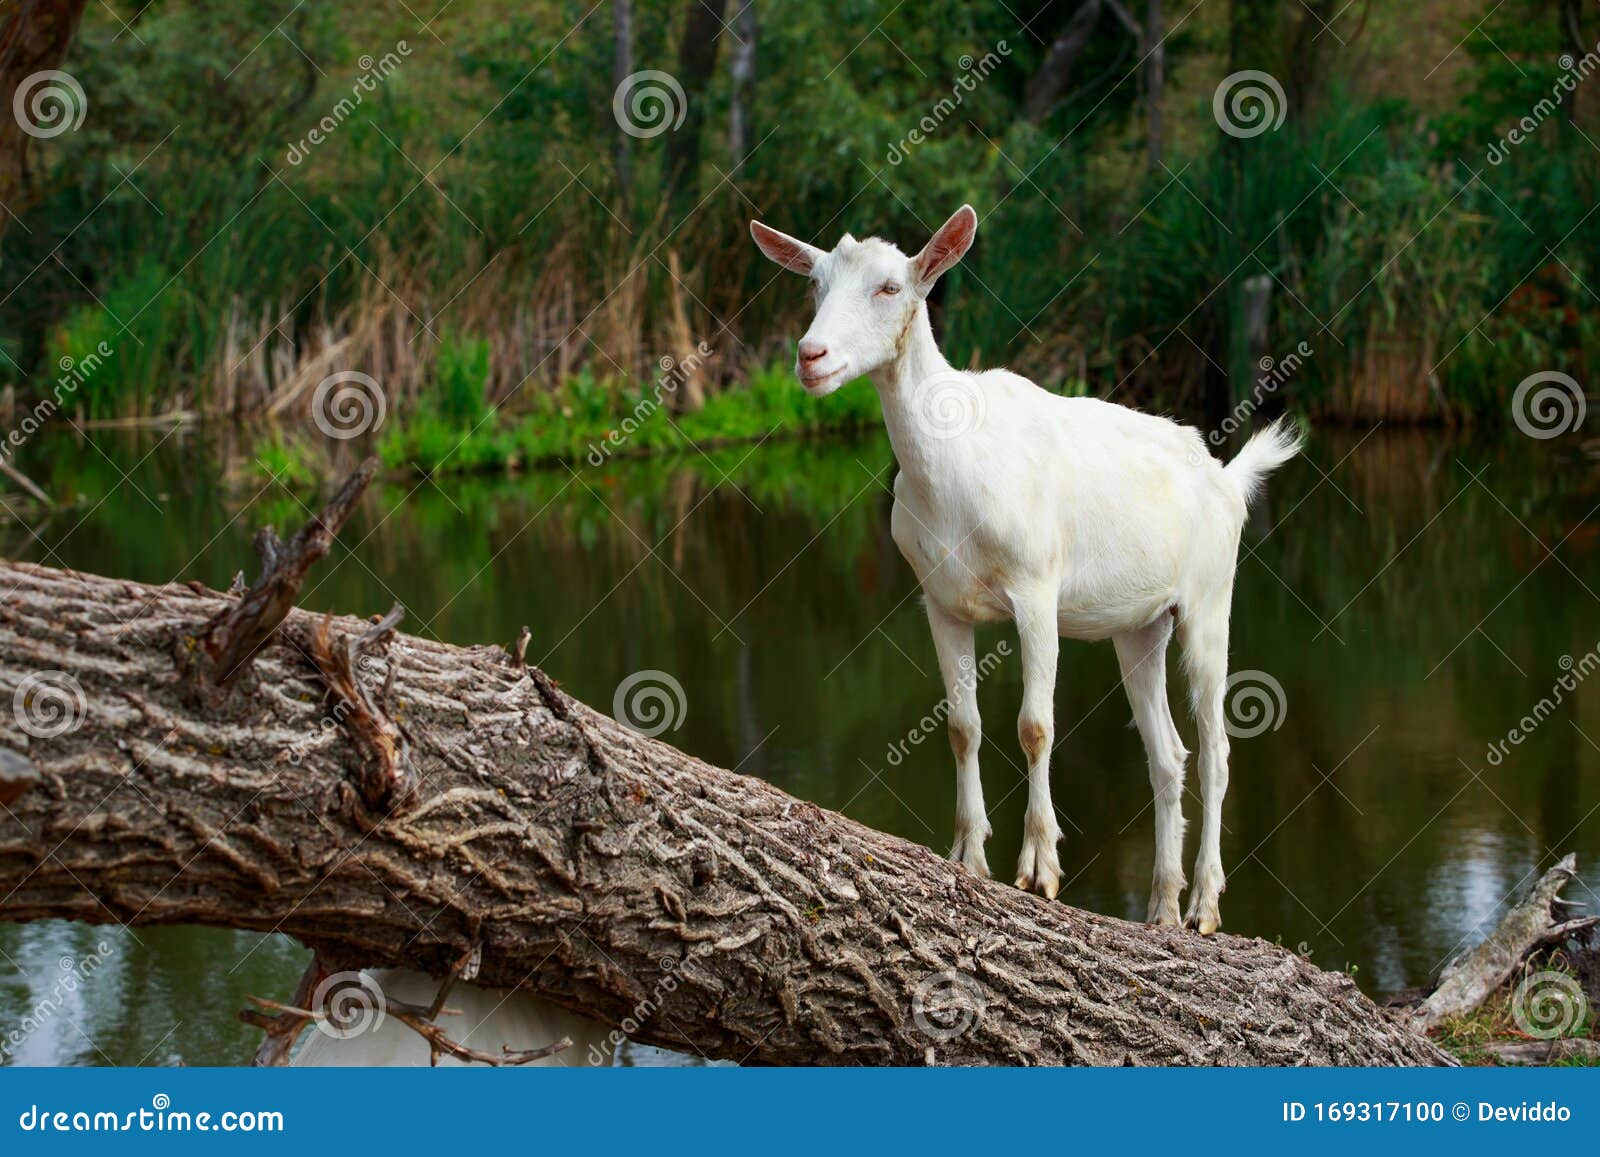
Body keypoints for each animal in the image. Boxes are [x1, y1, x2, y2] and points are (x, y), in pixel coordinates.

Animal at [749, 205, 1302, 932]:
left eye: (891, 287)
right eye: (815, 282)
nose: (810, 357)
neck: (955, 470)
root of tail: (1228, 479)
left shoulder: (1037, 588)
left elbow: (1035, 725)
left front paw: (1039, 867)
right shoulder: (939, 599)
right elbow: (962, 726)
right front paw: (967, 853)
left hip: (1211, 598)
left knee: (1216, 750)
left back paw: (1205, 906)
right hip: (1140, 626)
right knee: (1166, 754)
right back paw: (1160, 906)